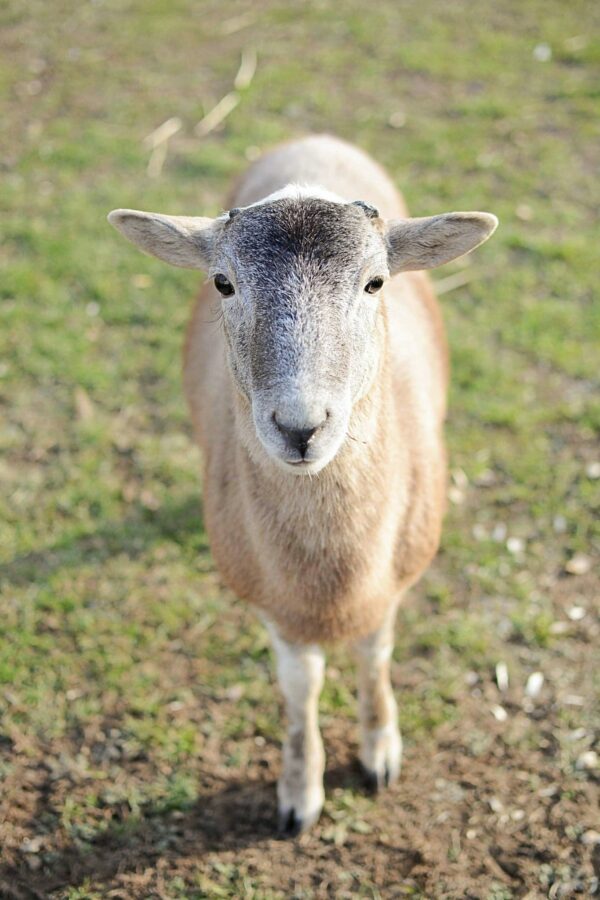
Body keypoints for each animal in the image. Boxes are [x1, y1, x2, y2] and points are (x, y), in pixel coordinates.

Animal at [108, 134, 497, 836]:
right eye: (223, 282)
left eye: (376, 282)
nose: (300, 428)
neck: (331, 575)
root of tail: (313, 141)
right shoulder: (274, 605)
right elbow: (300, 690)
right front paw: (299, 789)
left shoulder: (392, 582)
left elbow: (375, 658)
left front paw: (379, 750)